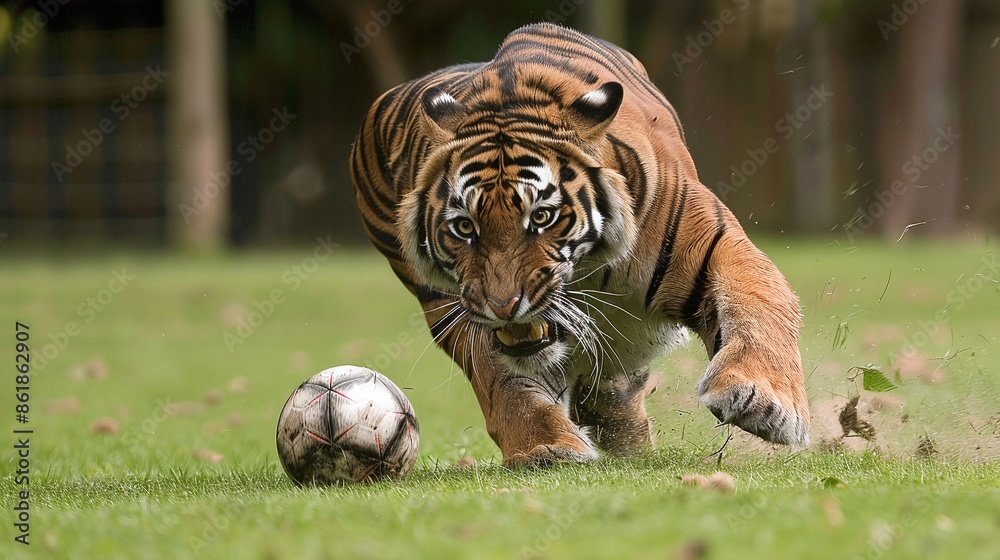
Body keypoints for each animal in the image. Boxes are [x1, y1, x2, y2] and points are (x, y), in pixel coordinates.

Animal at [349, 22, 809, 466]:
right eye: (464, 227)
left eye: (541, 217)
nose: (502, 305)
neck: (591, 270)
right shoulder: (467, 316)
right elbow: (505, 382)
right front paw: (546, 448)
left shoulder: (715, 242)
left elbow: (759, 300)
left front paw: (763, 401)